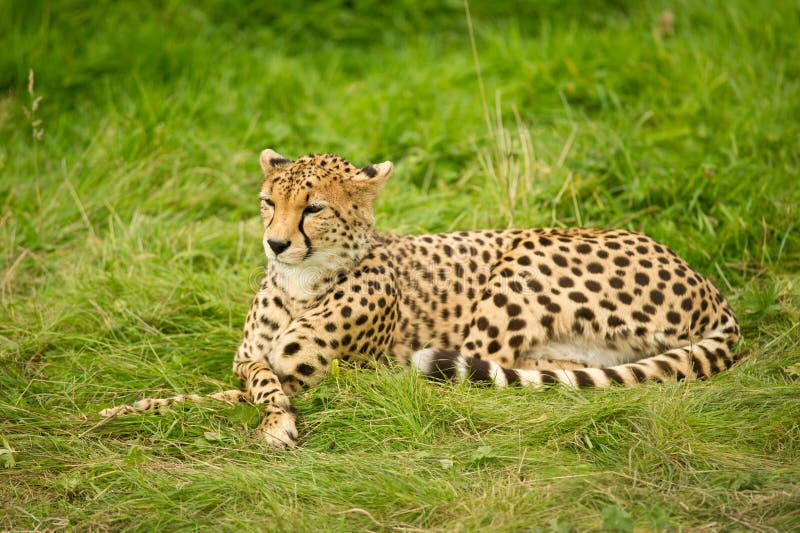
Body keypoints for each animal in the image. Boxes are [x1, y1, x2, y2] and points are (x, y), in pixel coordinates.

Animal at [100, 149, 741, 448]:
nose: (275, 243)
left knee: (470, 377)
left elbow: (226, 395)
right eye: (268, 202)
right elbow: (250, 379)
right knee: (550, 372)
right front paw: (128, 409)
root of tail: (710, 289)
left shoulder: (325, 378)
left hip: (522, 260)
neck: (303, 282)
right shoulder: (249, 359)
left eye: (313, 208)